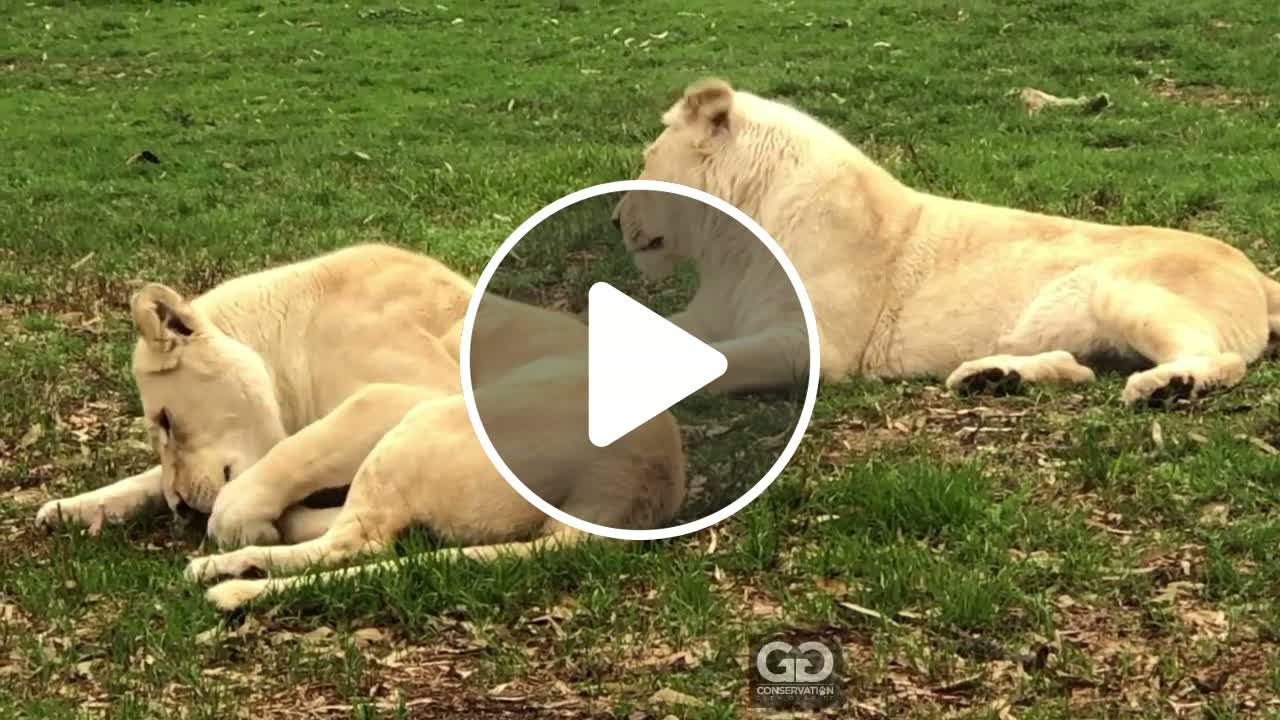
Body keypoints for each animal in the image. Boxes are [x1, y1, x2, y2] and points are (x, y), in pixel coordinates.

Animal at [36, 244, 686, 610]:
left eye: (167, 420)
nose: (178, 510)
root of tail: (637, 490)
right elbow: (152, 478)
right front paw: (71, 507)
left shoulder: (409, 390)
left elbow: (286, 459)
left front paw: (233, 519)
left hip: (426, 422)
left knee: (361, 539)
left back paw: (229, 566)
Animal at [614, 78, 1280, 405]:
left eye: (645, 160)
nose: (616, 218)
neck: (731, 248)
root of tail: (1257, 271)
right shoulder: (712, 314)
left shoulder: (817, 347)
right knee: (1078, 370)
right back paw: (992, 378)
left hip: (1122, 292)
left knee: (1216, 360)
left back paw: (1165, 387)